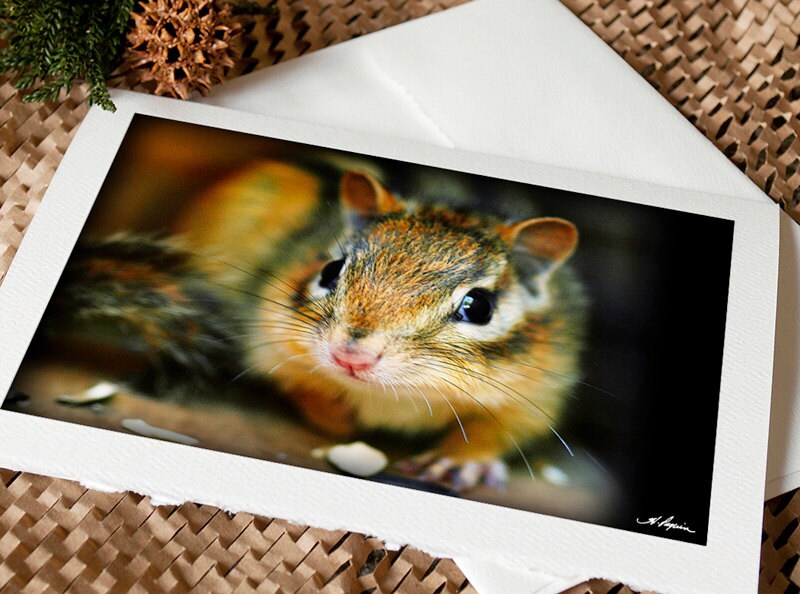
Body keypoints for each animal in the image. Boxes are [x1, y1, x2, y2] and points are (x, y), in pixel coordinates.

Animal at [45, 160, 587, 491]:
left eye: (479, 308)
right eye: (330, 270)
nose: (351, 354)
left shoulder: (542, 387)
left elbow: (505, 428)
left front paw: (460, 461)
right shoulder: (266, 335)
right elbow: (298, 385)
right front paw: (338, 416)